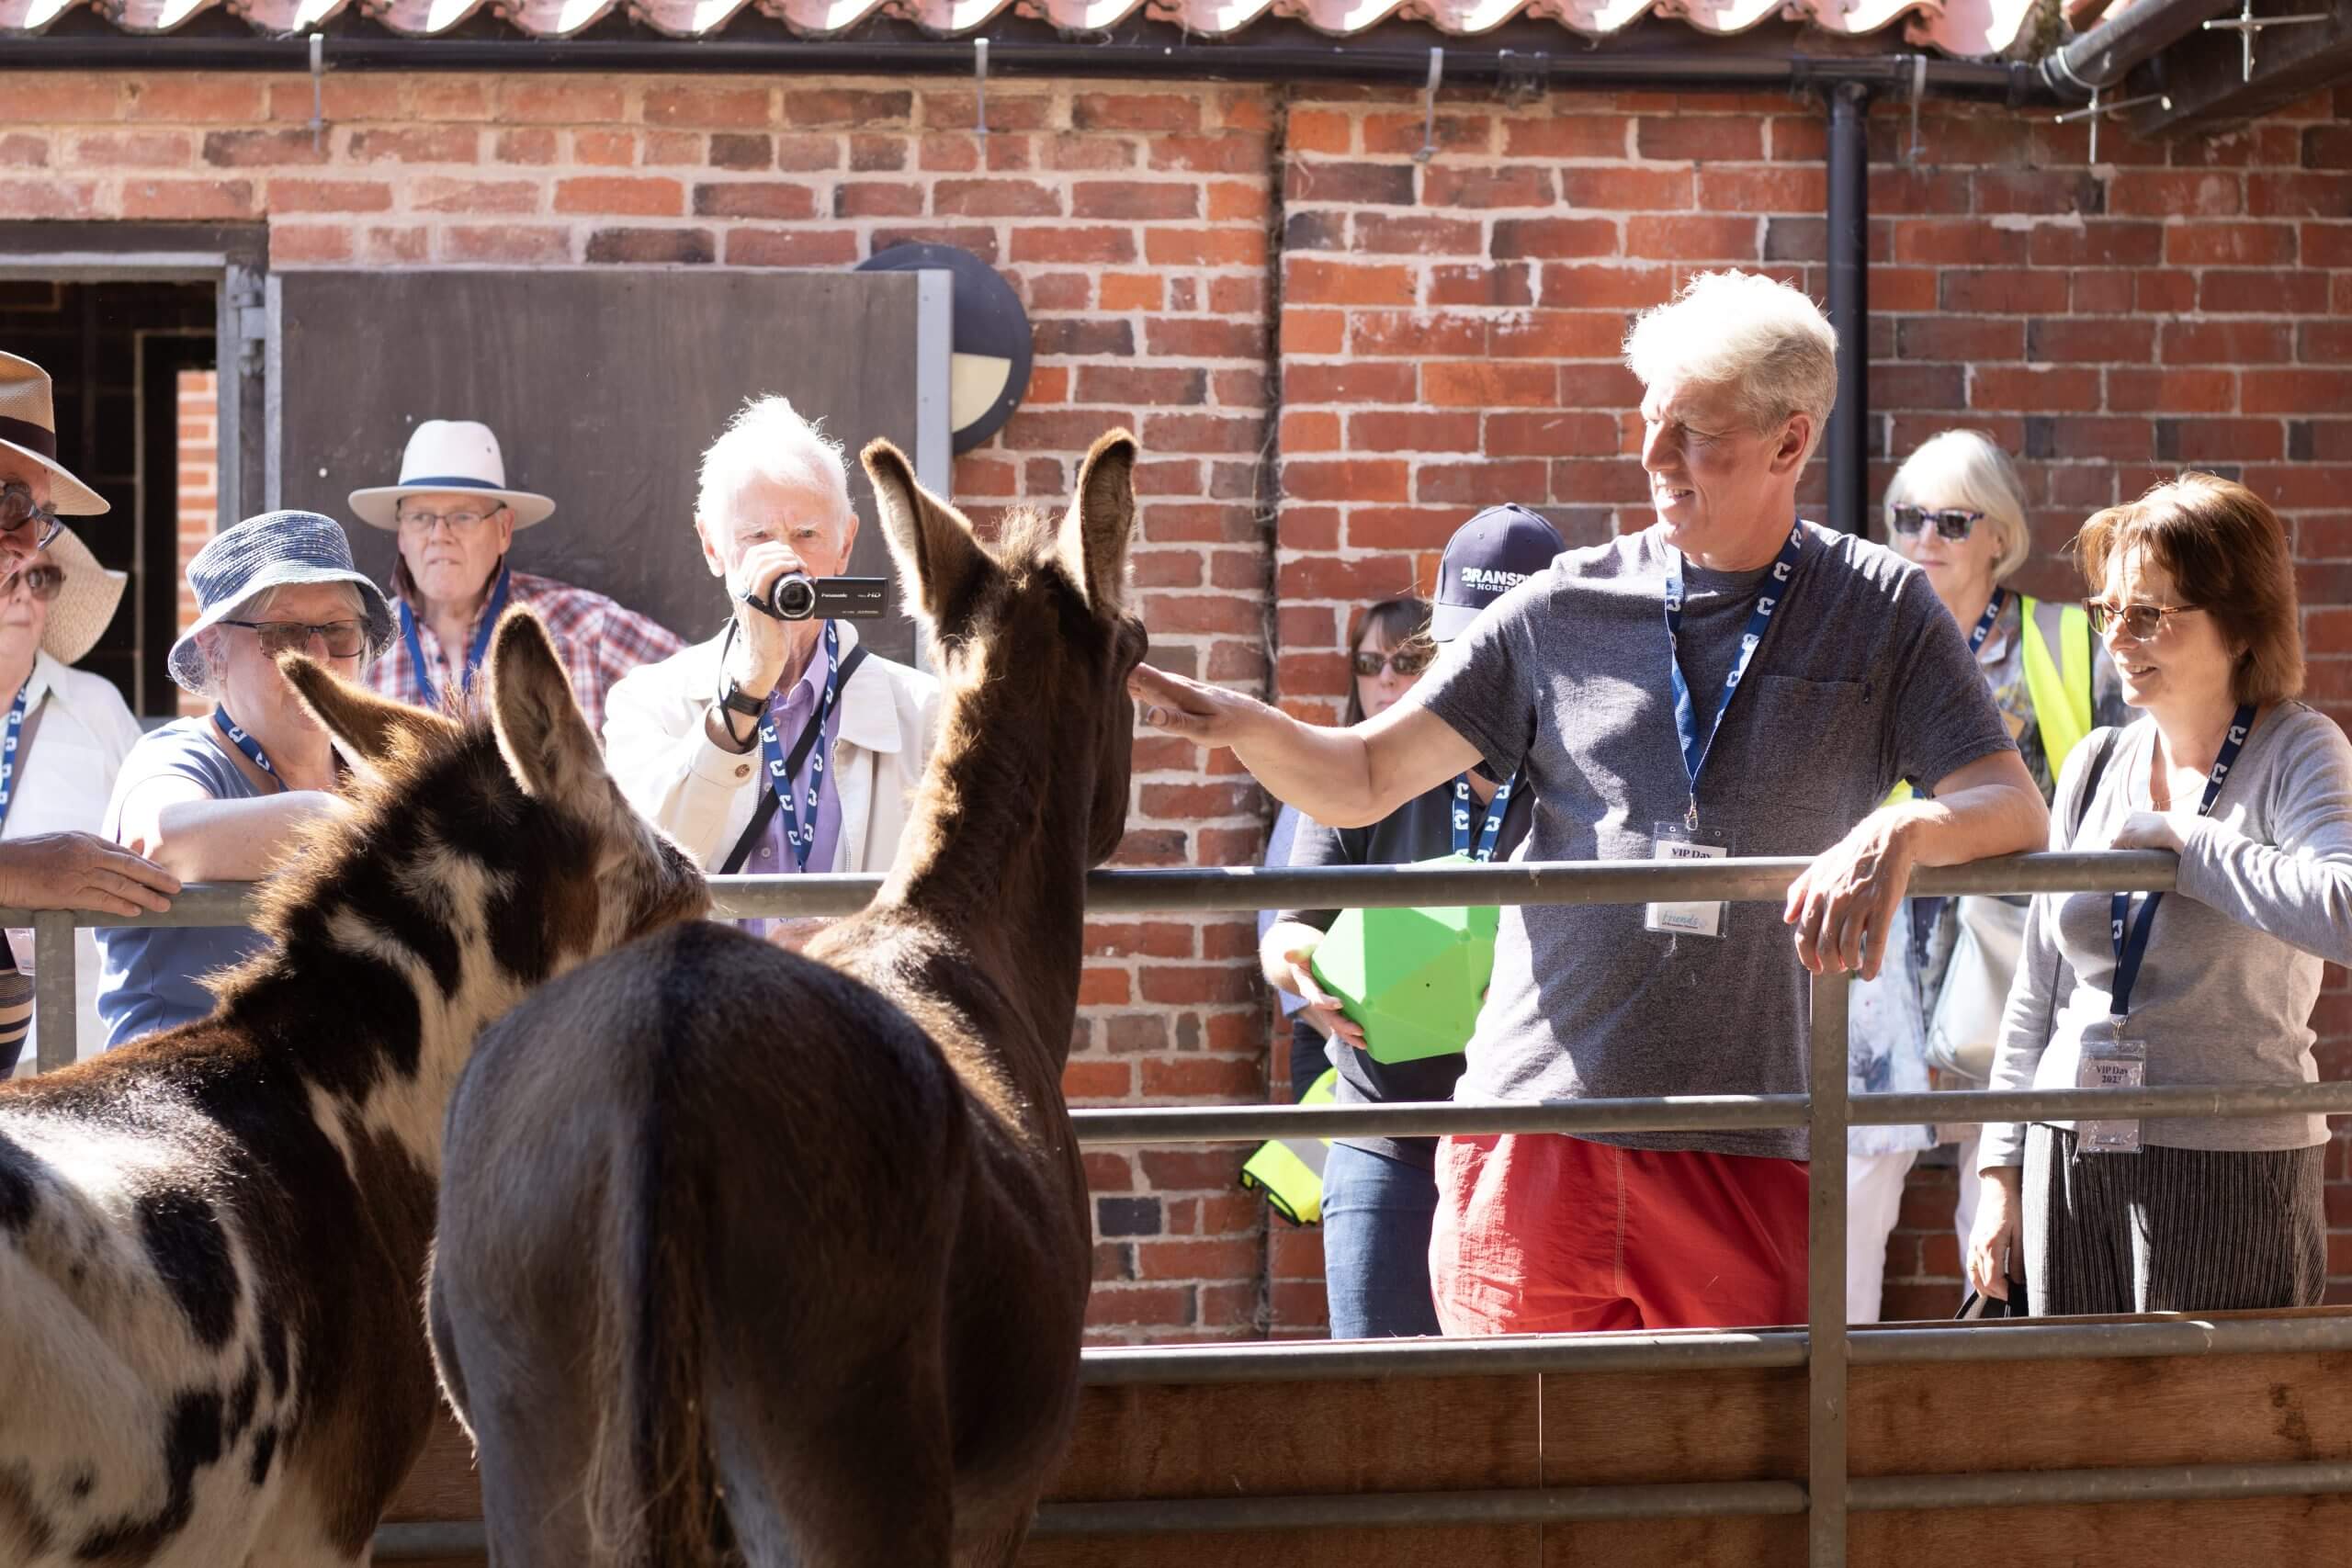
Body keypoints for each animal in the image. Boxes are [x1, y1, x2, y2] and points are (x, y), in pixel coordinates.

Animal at [427, 429, 1147, 1567]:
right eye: (1138, 649)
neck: (953, 933)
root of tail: (663, 1071)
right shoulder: (999, 1505)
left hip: (539, 1455)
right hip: (843, 1459)